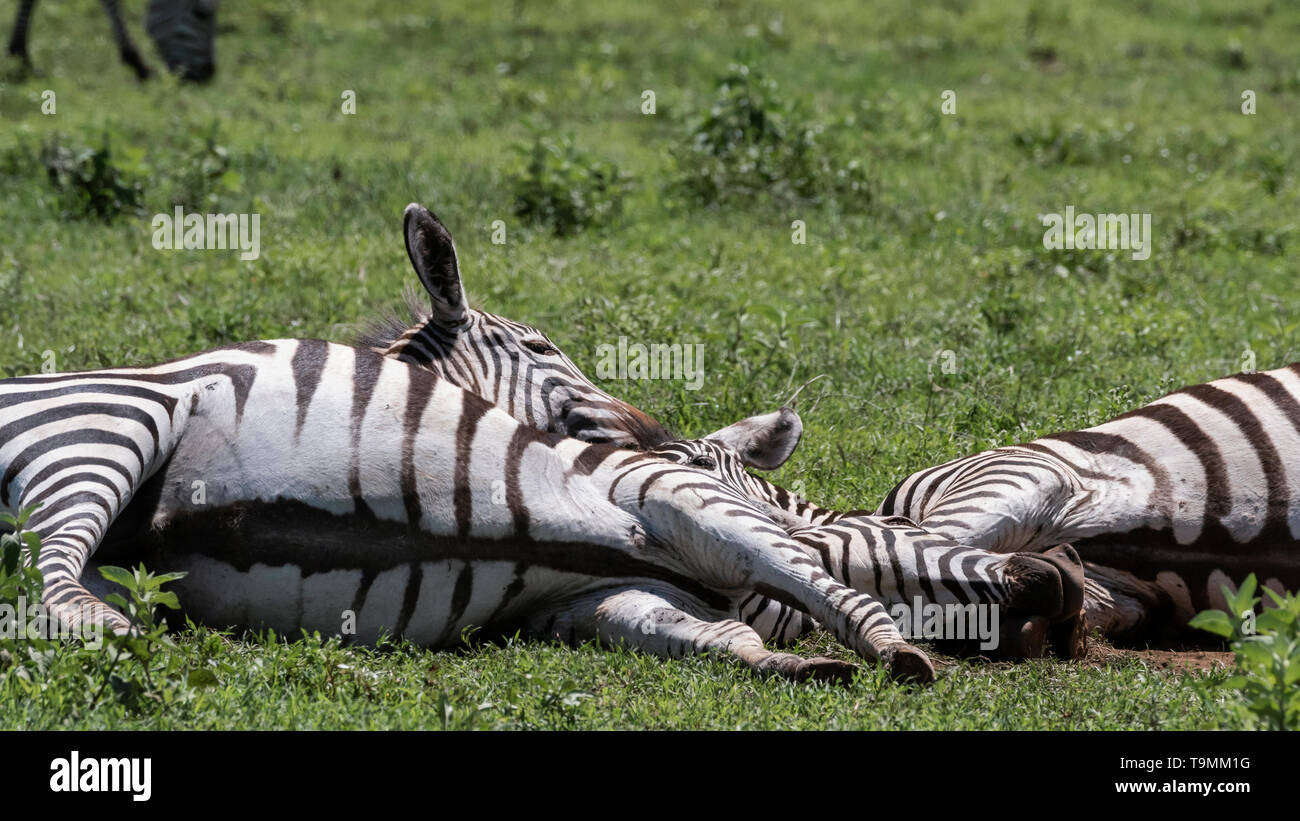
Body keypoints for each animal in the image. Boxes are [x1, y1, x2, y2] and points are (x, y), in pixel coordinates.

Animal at [1, 340, 935, 683]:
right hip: (109, 424)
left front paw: (795, 664)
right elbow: (786, 565)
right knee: (53, 586)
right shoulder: (663, 494)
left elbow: (714, 633)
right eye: (772, 491)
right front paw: (895, 647)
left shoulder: (597, 601)